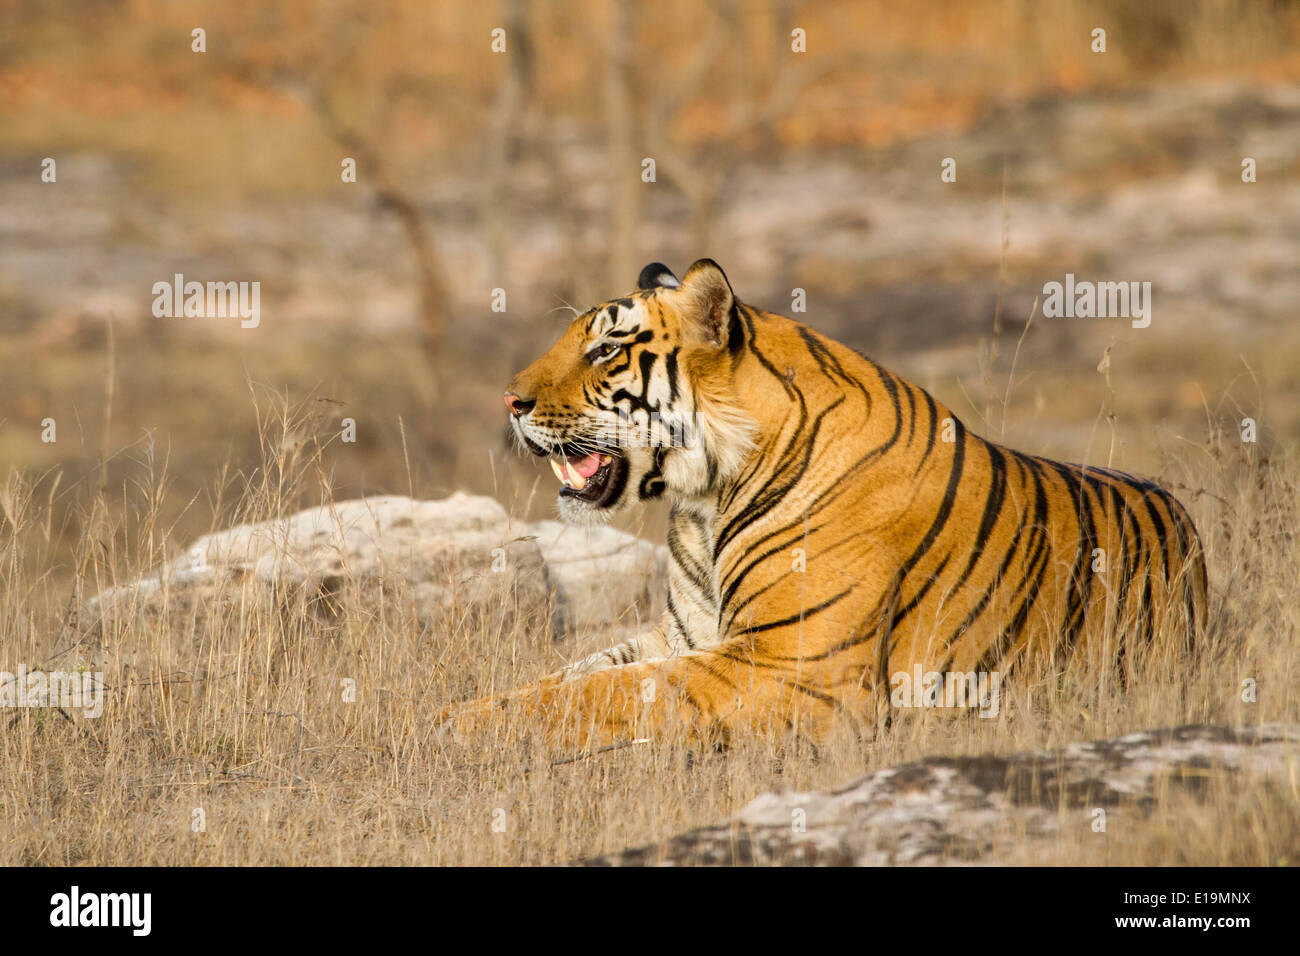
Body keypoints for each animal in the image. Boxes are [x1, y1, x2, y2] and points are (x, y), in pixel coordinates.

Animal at [438, 258, 1208, 752]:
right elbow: (575, 673)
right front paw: (448, 711)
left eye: (603, 351)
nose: (509, 402)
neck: (705, 500)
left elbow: (610, 692)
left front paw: (457, 729)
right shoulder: (686, 634)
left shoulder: (793, 664)